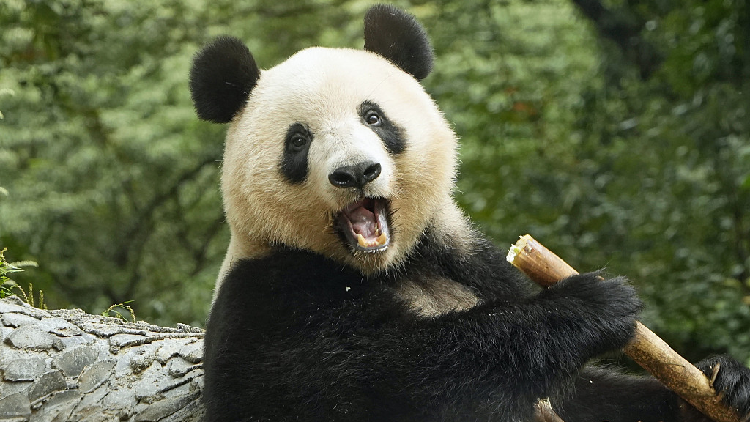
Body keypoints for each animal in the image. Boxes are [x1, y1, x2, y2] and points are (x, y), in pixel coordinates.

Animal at [190, 5, 750, 422]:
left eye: (373, 116)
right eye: (298, 140)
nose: (355, 172)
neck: (385, 267)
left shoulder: (466, 259)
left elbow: (584, 396)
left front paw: (723, 380)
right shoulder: (268, 296)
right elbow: (364, 383)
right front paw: (593, 304)